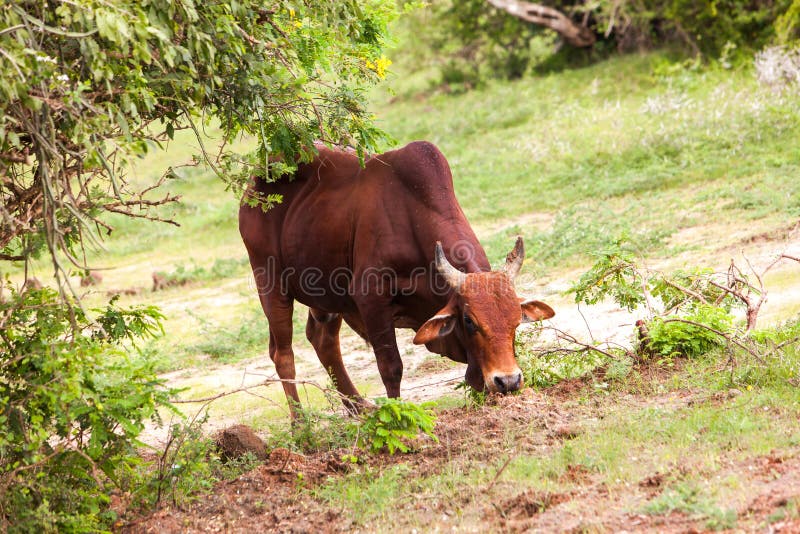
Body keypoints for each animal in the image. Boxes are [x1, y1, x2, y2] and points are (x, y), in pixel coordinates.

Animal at [239, 141, 554, 415]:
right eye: (469, 321)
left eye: (516, 321)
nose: (509, 381)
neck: (413, 214)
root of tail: (255, 182)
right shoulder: (371, 299)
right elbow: (391, 367)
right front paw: (397, 415)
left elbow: (474, 372)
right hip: (269, 281)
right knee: (283, 355)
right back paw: (301, 425)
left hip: (325, 294)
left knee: (322, 339)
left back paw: (359, 407)